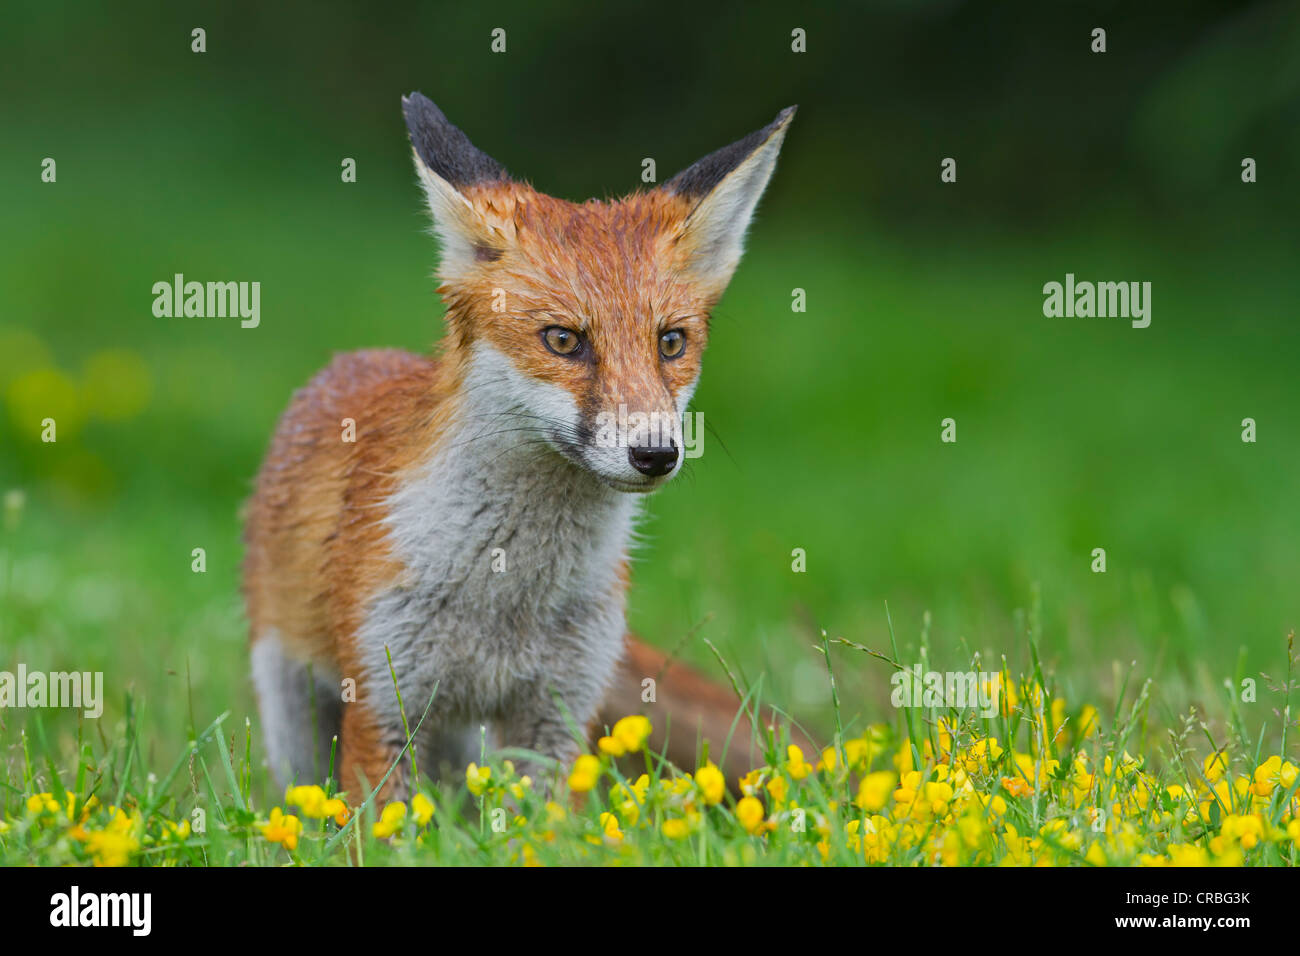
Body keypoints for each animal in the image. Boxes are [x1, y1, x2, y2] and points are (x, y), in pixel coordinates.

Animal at [243, 92, 805, 803]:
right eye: (563, 340)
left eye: (671, 343)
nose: (655, 453)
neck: (508, 596)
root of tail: (353, 360)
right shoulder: (382, 699)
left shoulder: (559, 708)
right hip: (294, 714)